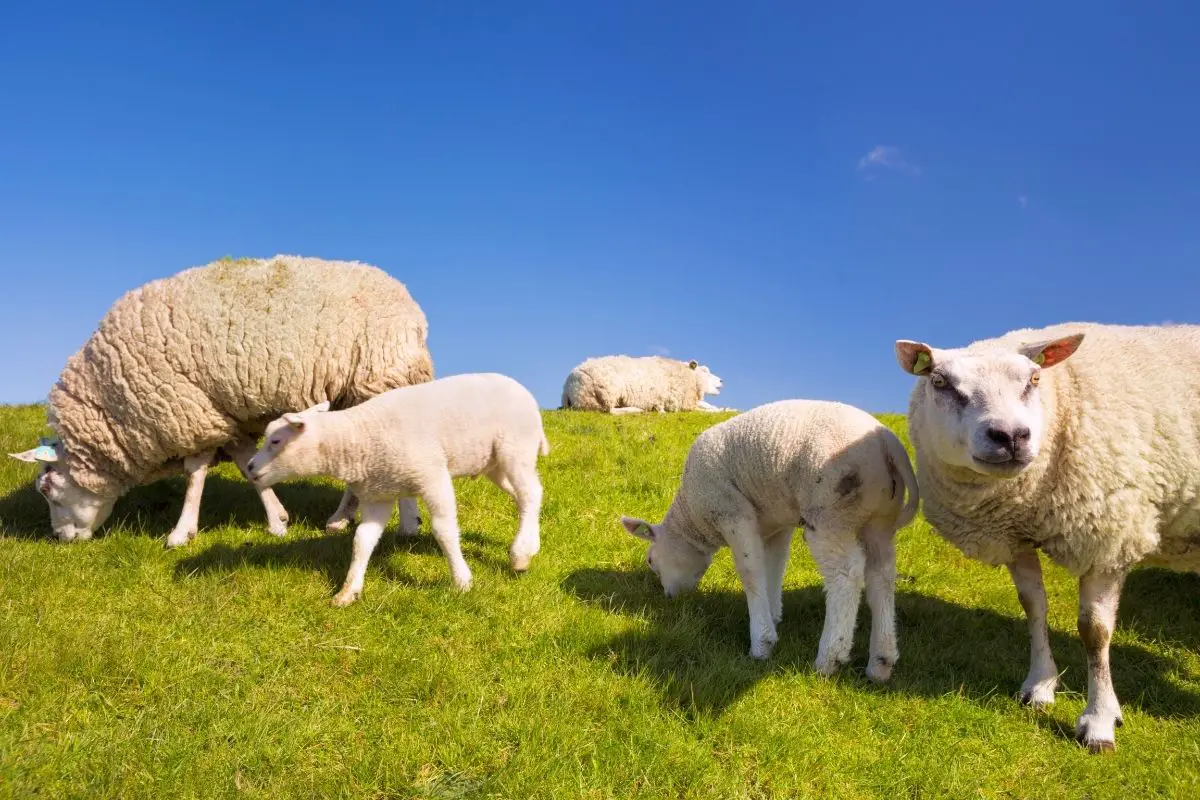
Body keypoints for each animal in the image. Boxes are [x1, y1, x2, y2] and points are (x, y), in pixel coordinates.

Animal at [8, 255, 433, 547]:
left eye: (47, 490)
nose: (61, 539)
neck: (113, 406)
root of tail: (410, 307)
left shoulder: (187, 412)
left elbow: (195, 474)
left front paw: (181, 532)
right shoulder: (222, 418)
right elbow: (248, 467)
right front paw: (278, 521)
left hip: (382, 380)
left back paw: (405, 525)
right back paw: (344, 519)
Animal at [245, 372, 550, 607]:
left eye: (275, 441)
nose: (249, 467)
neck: (358, 439)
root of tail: (522, 390)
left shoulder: (433, 477)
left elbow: (444, 530)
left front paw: (461, 580)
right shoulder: (378, 495)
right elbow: (362, 540)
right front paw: (348, 591)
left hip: (516, 448)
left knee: (530, 493)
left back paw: (521, 553)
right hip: (493, 464)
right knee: (527, 495)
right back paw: (528, 542)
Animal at [561, 355, 724, 414]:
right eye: (706, 371)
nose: (722, 381)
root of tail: (567, 387)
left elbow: (708, 406)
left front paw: (723, 408)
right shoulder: (679, 403)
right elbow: (705, 410)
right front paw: (720, 411)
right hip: (605, 393)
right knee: (610, 411)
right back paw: (637, 409)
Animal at [621, 399, 919, 680]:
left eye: (650, 561)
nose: (669, 597)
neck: (694, 516)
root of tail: (888, 443)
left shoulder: (731, 511)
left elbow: (750, 571)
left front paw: (761, 641)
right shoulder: (776, 525)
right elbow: (773, 567)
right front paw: (773, 614)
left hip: (831, 512)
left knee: (846, 575)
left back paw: (829, 657)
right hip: (880, 520)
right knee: (881, 574)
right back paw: (881, 660)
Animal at [895, 321, 1200, 753]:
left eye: (1034, 379)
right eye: (939, 381)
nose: (1010, 436)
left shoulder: (1109, 535)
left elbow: (1095, 632)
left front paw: (1099, 720)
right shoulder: (1013, 535)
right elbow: (1033, 607)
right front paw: (1039, 686)